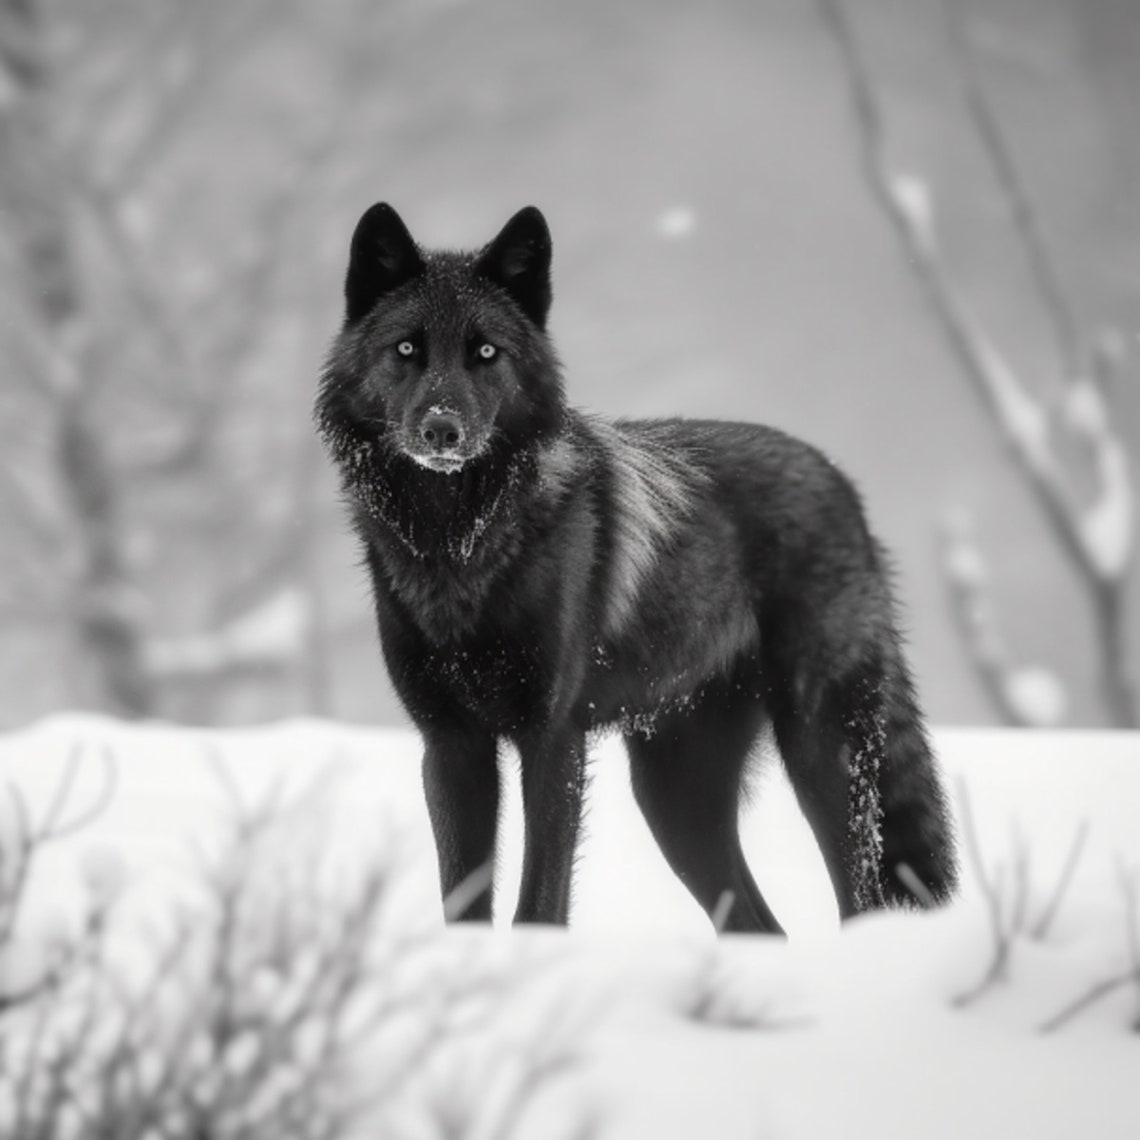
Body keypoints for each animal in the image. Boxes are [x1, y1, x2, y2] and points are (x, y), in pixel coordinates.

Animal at [316, 203, 957, 933]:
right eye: (406, 349)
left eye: (485, 352)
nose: (442, 430)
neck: (458, 543)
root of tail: (841, 483)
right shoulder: (451, 748)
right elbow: (464, 905)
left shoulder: (552, 740)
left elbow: (538, 905)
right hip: (676, 800)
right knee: (763, 927)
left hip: (822, 756)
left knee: (862, 902)